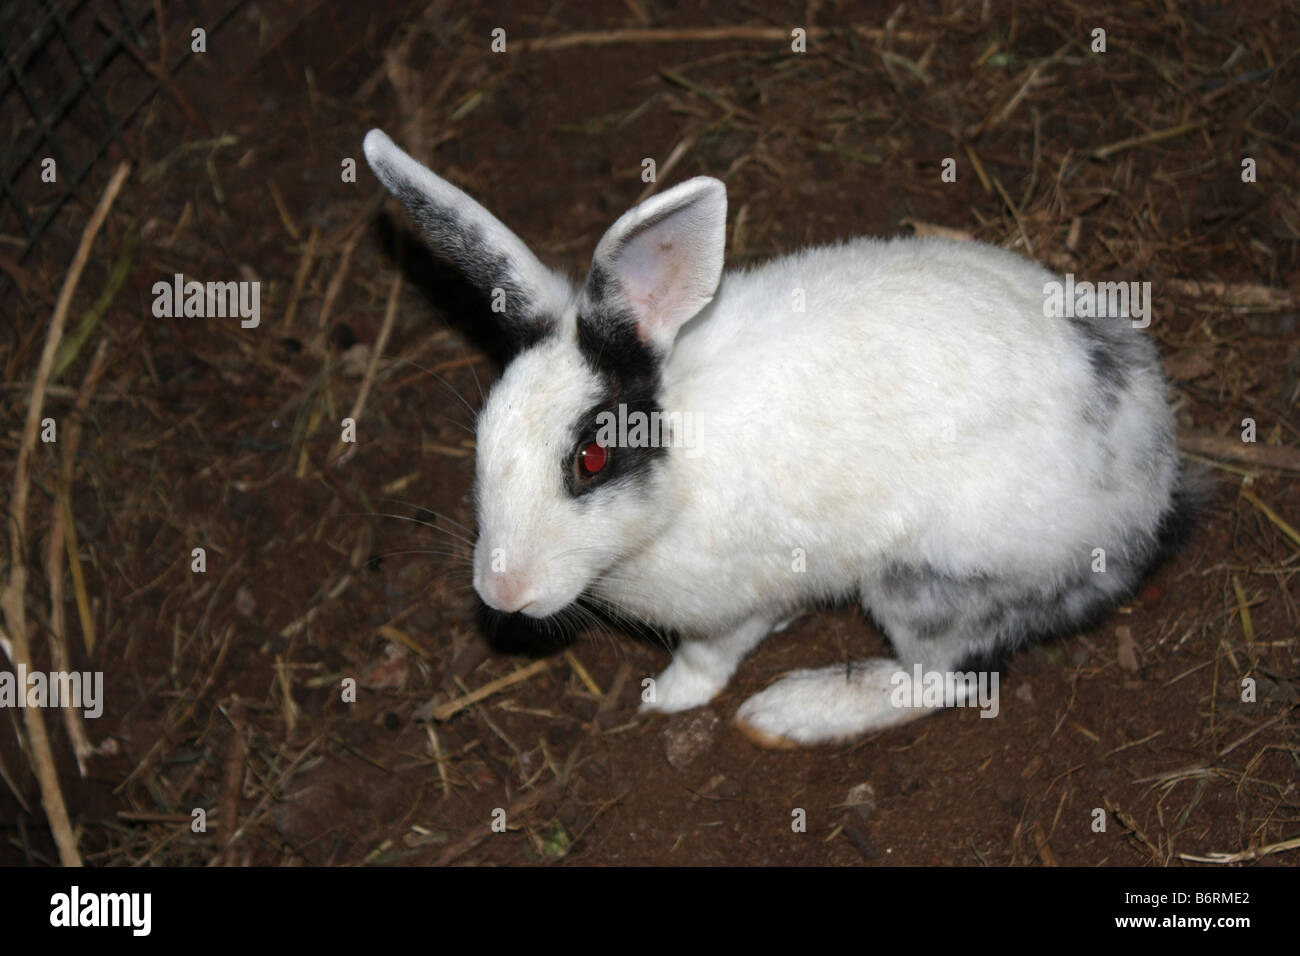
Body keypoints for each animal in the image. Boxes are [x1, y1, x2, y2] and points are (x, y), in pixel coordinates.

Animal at [364, 127, 1196, 749]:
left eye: (590, 459)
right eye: (483, 435)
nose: (500, 592)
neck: (681, 467)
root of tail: (1152, 480)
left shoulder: (727, 606)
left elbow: (709, 658)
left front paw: (667, 697)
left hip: (929, 579)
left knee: (945, 678)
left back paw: (794, 713)